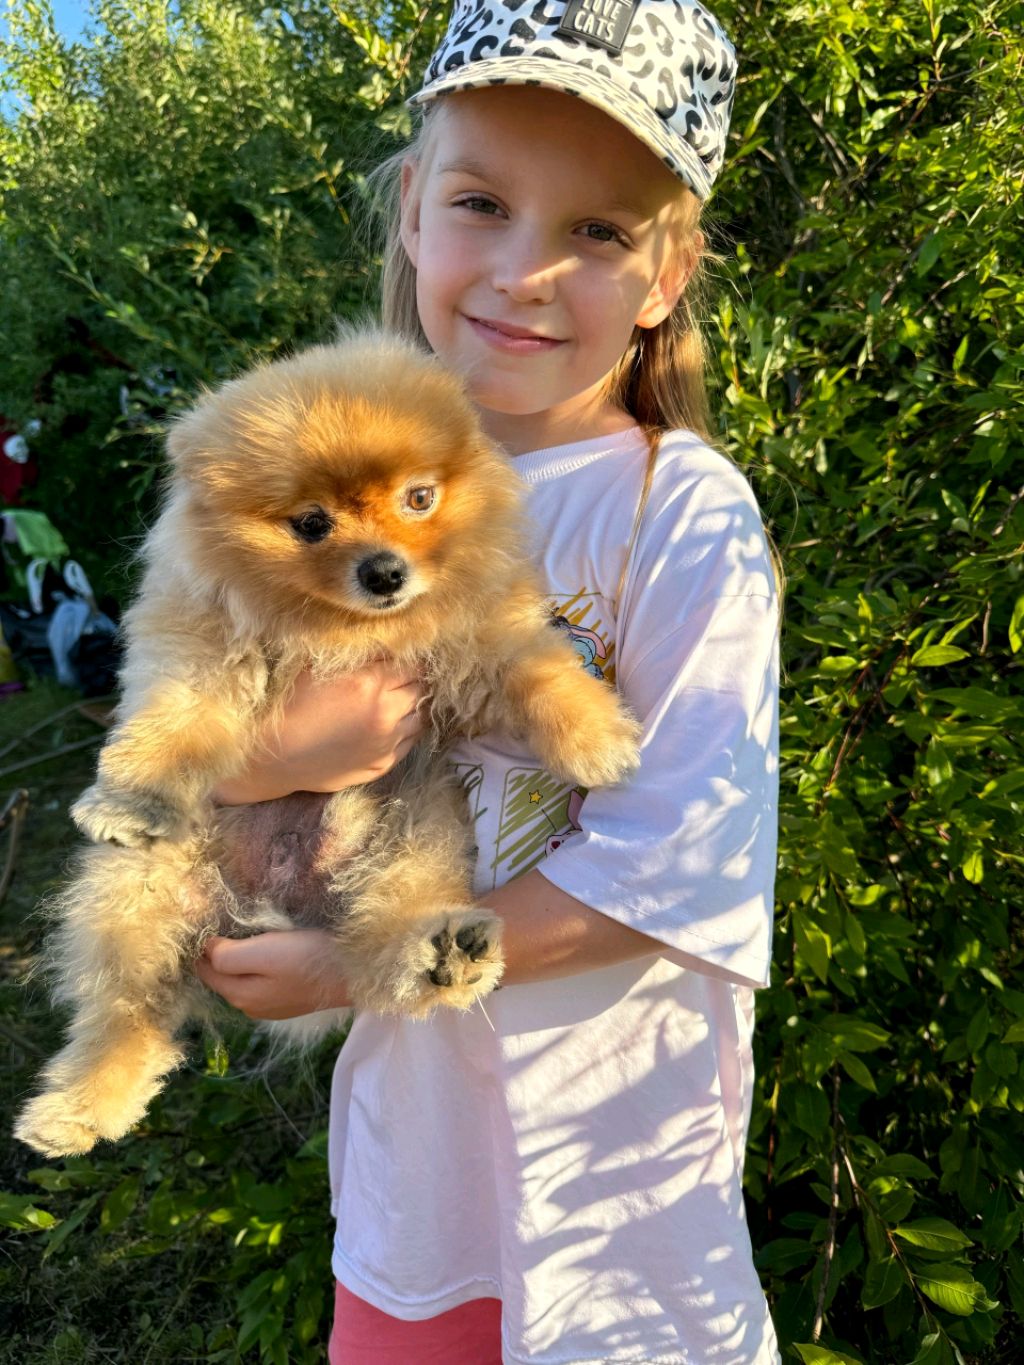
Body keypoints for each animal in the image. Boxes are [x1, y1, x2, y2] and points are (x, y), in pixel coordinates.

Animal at [14, 331, 641, 1157]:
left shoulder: (482, 643)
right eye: (311, 523)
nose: (385, 571)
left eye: (419, 499)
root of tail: (269, 909)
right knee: (128, 1010)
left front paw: (599, 737)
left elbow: (541, 673)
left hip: (417, 833)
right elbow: (173, 723)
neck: (340, 629)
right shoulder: (201, 655)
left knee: (378, 944)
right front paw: (131, 796)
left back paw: (440, 954)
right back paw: (77, 1109)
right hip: (141, 889)